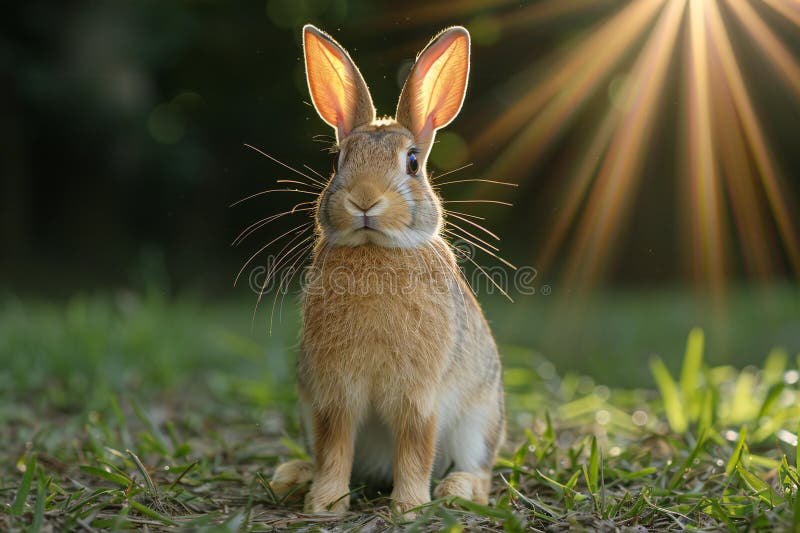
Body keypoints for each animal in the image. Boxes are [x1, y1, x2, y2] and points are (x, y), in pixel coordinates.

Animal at [269, 24, 505, 516]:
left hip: (478, 421)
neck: (375, 249)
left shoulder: (419, 397)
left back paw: (456, 490)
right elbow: (335, 447)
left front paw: (409, 506)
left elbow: (415, 449)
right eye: (336, 160)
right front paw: (325, 504)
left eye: (413, 162)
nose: (364, 200)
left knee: (481, 472)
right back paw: (293, 478)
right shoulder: (333, 396)